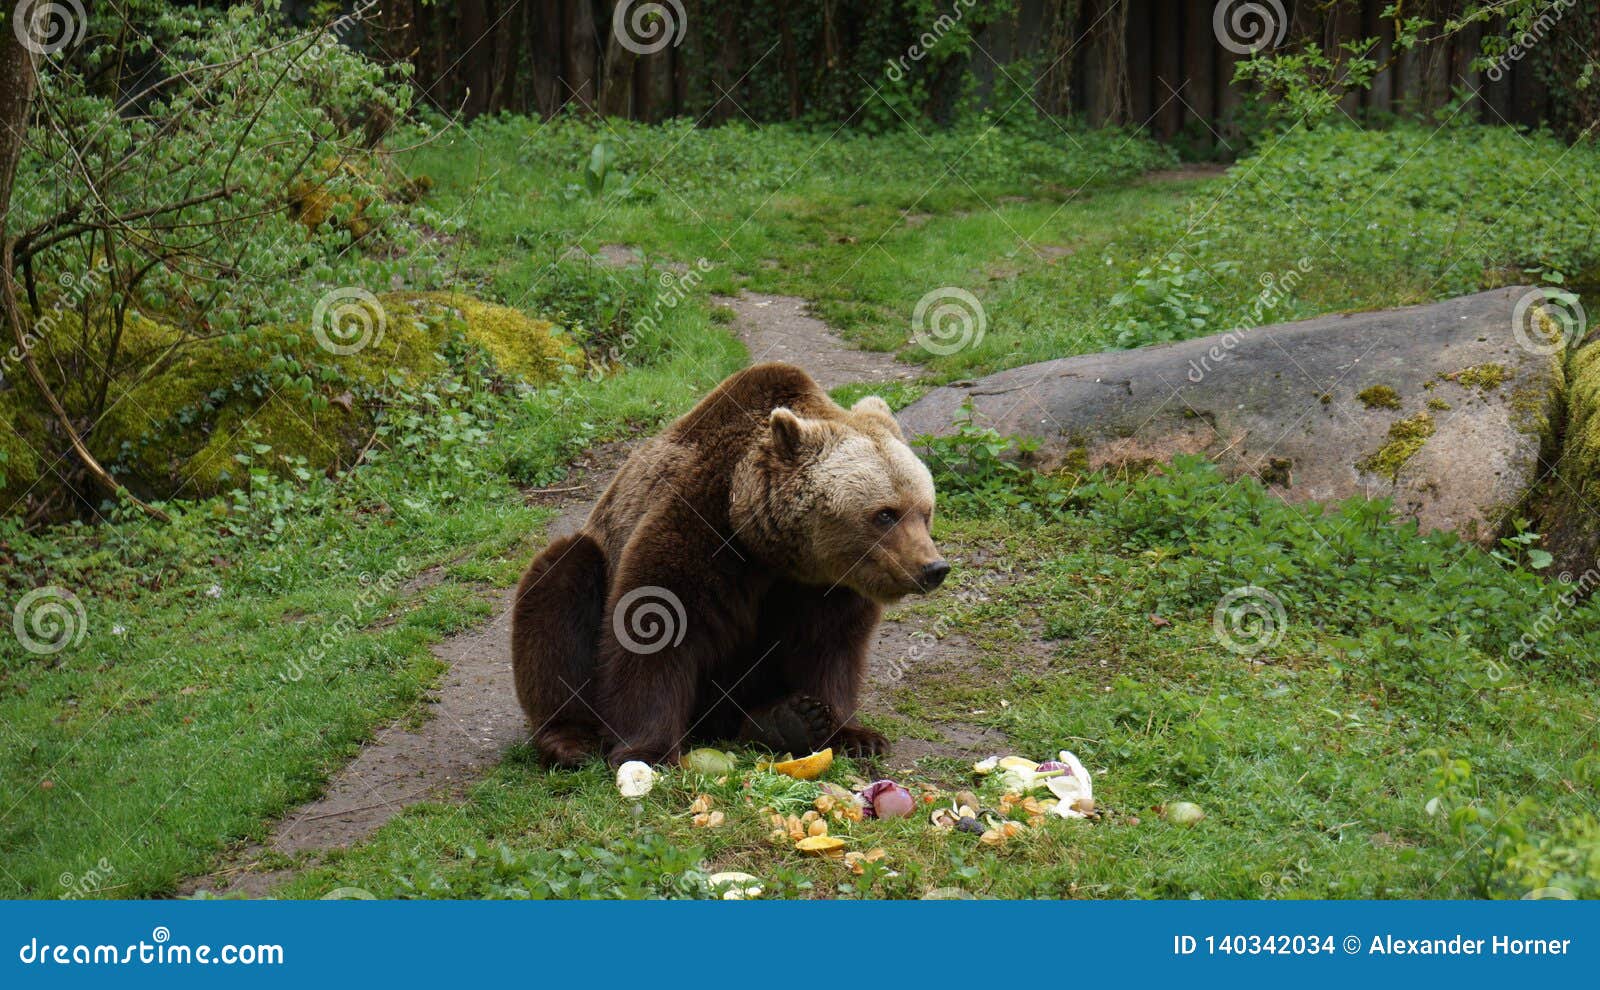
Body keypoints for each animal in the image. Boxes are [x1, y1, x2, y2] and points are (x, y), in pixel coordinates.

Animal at [511, 362, 949, 768]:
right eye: (886, 514)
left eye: (925, 511)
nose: (933, 568)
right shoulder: (698, 525)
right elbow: (653, 628)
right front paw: (648, 751)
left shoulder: (828, 586)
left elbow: (831, 648)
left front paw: (852, 733)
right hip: (592, 557)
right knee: (560, 588)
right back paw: (570, 740)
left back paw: (782, 721)